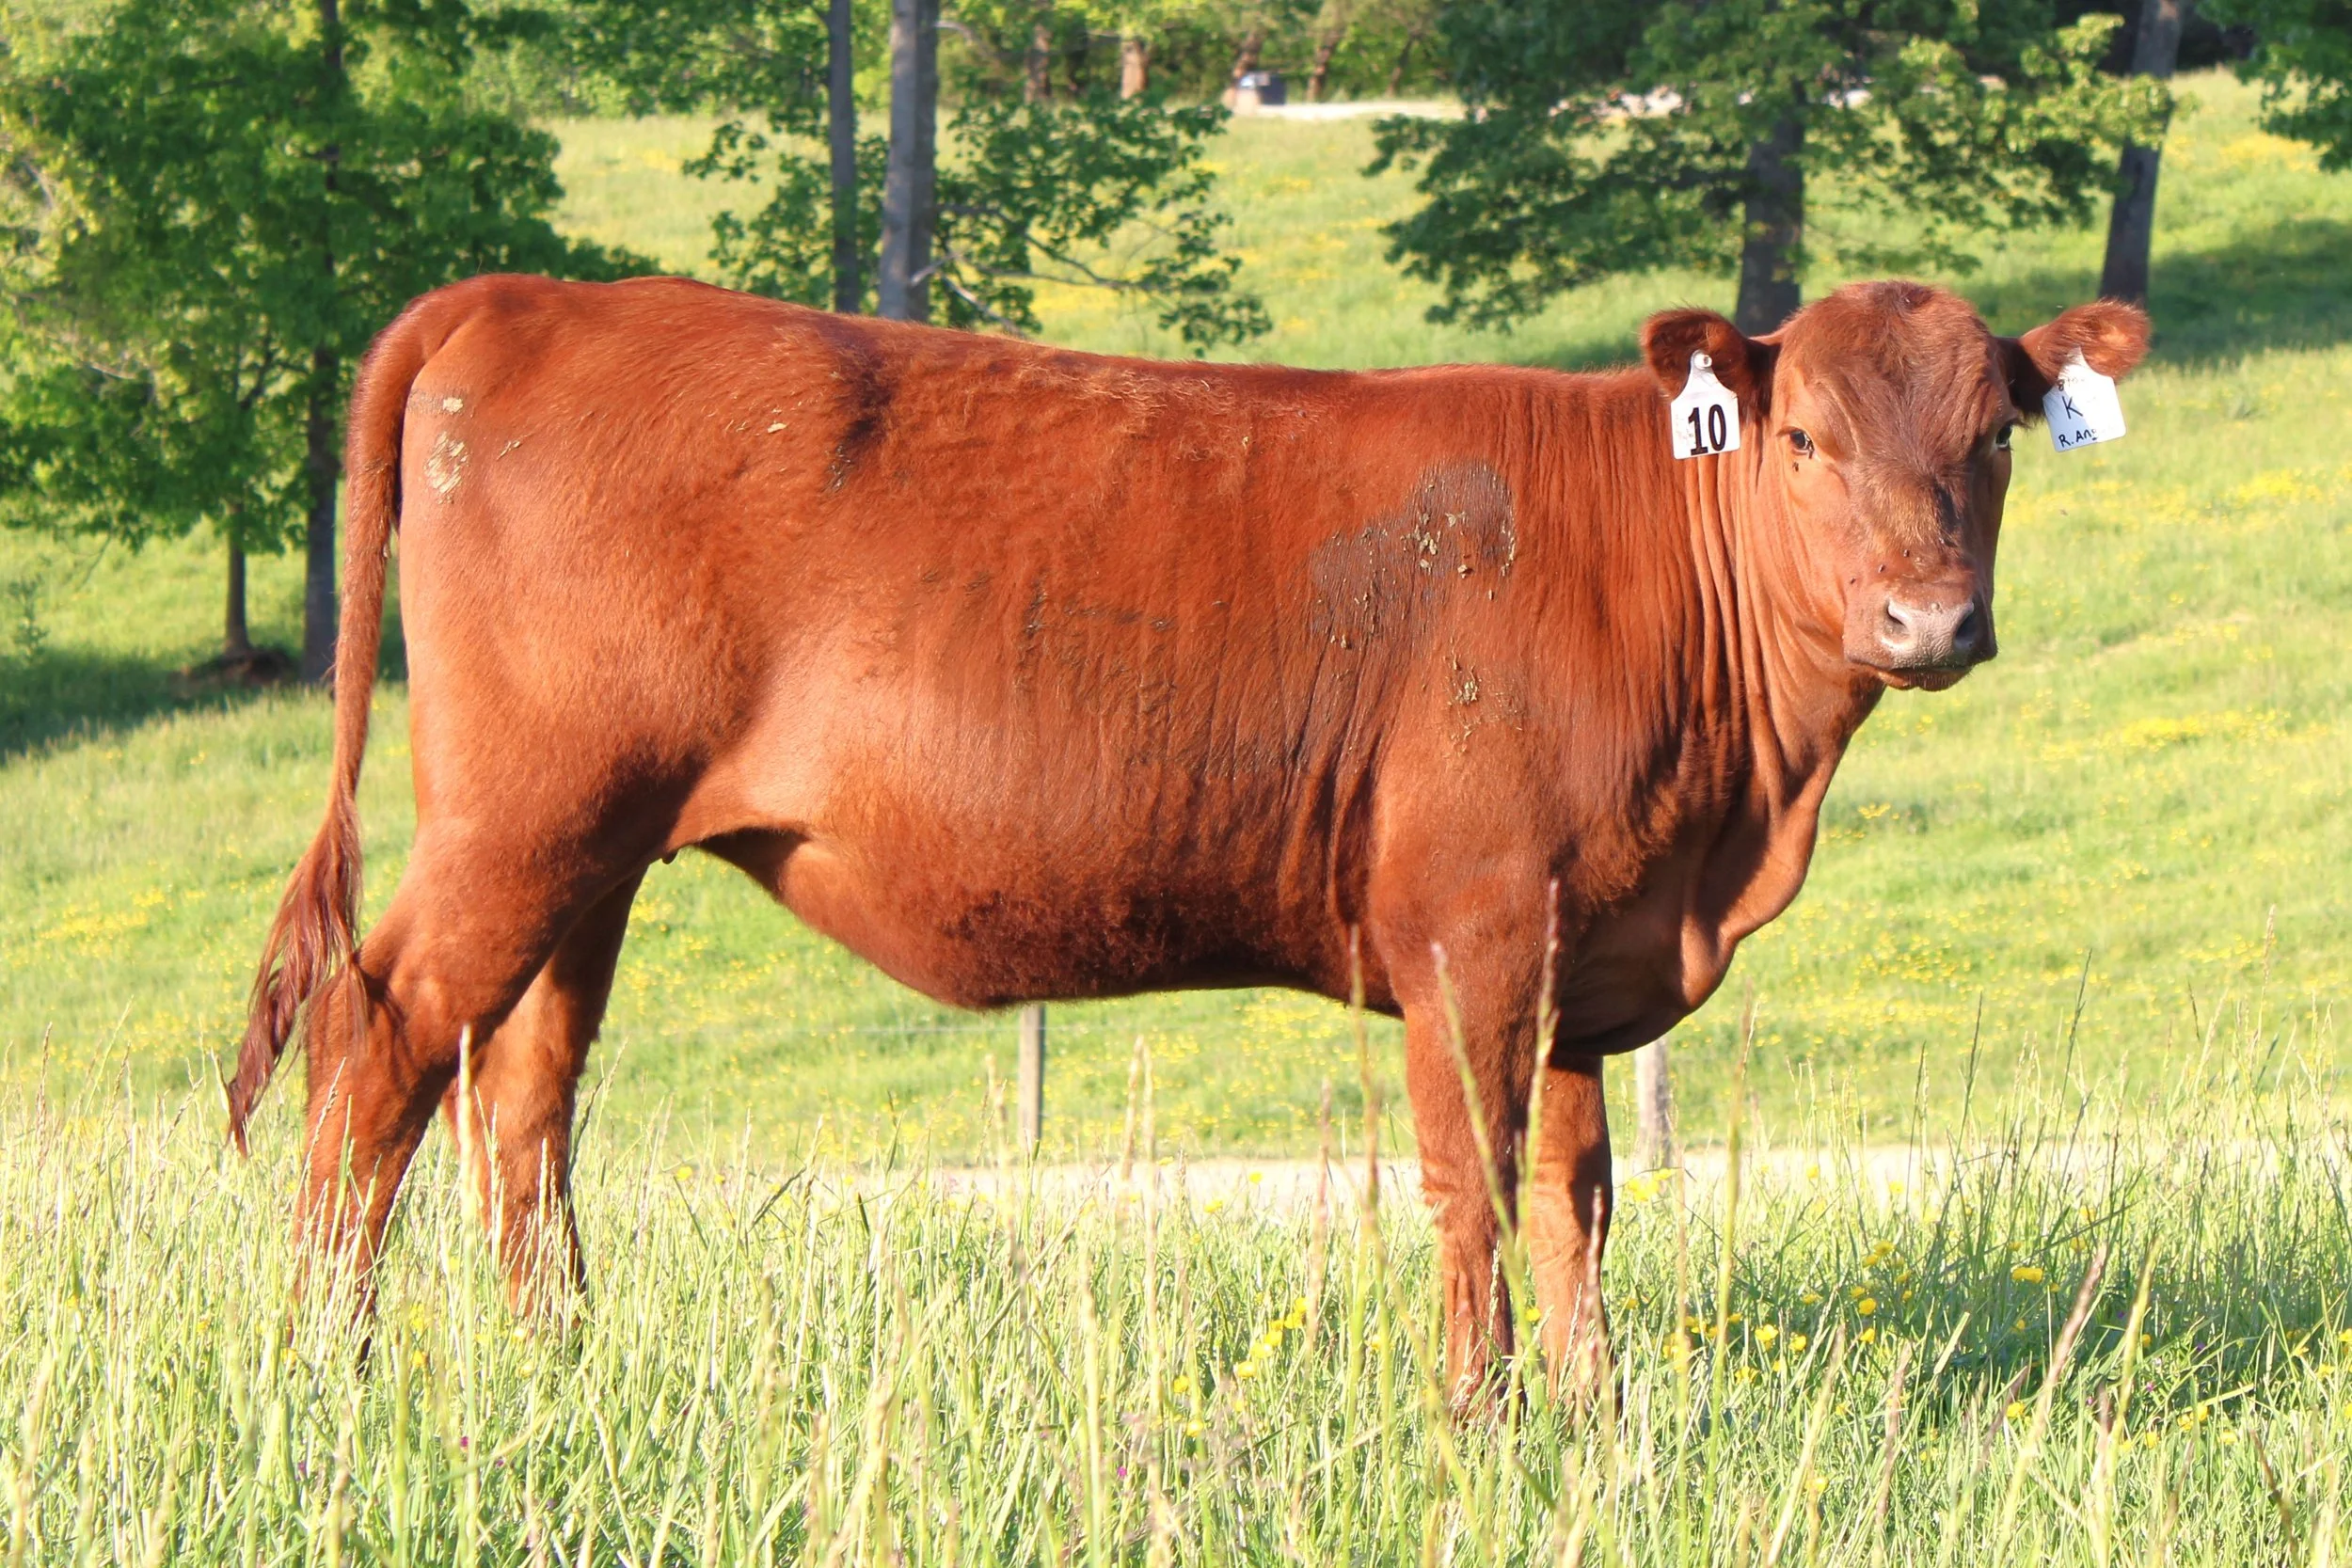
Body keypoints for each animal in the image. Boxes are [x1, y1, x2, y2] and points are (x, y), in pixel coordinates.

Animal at [227, 273, 2148, 1392]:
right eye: (1803, 435)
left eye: (1993, 433)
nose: (1927, 620)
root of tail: (540, 293)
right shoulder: (1467, 921)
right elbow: (1468, 1181)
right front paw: (1482, 1425)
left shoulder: (1584, 940)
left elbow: (1576, 1192)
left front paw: (1600, 1424)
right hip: (524, 814)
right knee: (383, 1038)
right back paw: (321, 1368)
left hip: (591, 850)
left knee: (523, 1084)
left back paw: (559, 1363)